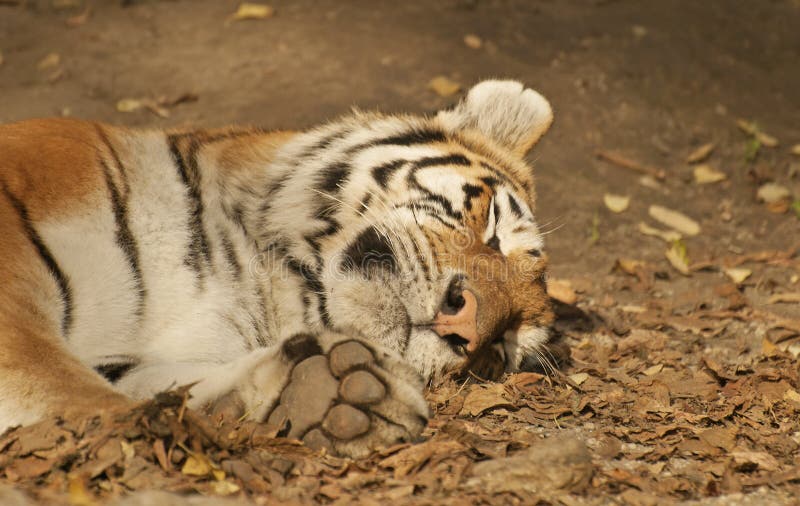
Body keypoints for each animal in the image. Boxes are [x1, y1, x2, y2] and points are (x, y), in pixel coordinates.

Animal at [0, 80, 556, 458]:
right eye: (494, 227)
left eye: (500, 349)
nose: (466, 327)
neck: (251, 280)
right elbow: (58, 381)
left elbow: (166, 385)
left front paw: (322, 393)